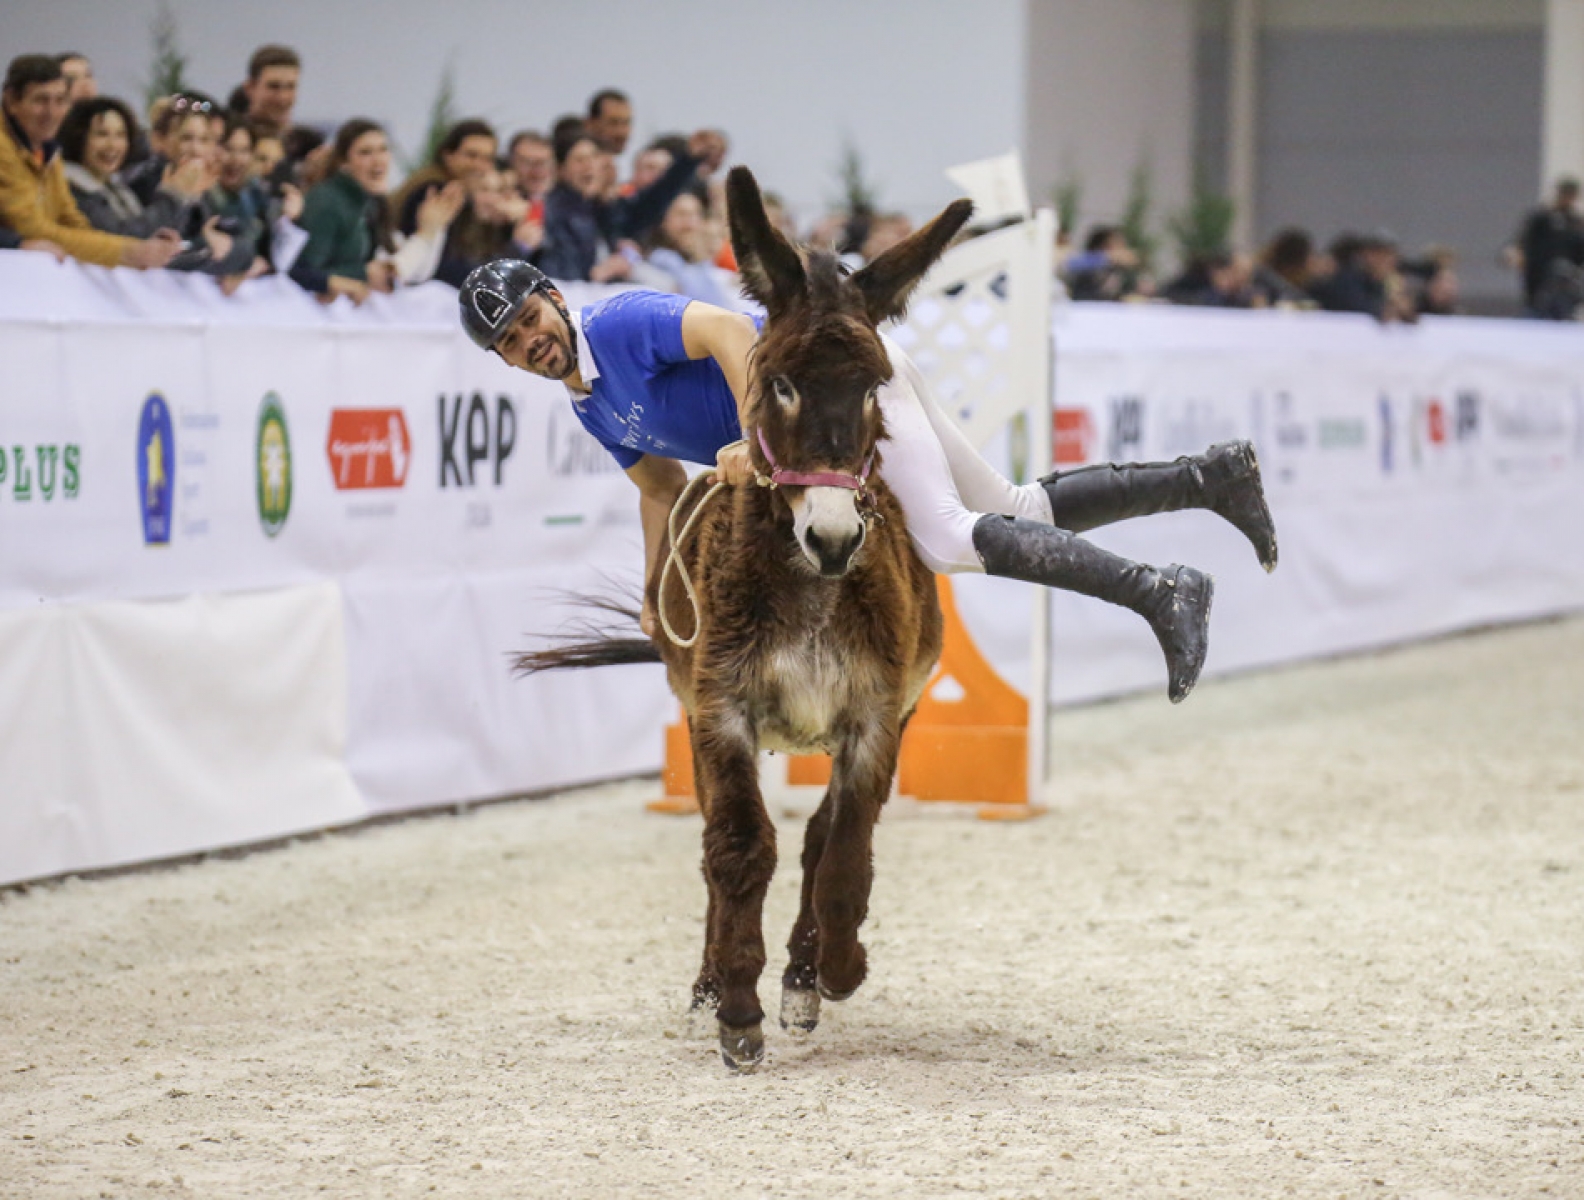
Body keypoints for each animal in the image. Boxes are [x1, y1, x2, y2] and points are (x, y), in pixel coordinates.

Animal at [517, 166, 973, 1071]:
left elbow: (842, 853)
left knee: (820, 840)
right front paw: (735, 1009)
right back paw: (710, 986)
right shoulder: (720, 711)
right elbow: (737, 848)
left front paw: (829, 971)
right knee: (716, 846)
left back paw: (805, 973)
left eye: (875, 386)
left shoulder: (875, 718)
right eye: (780, 383)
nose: (834, 538)